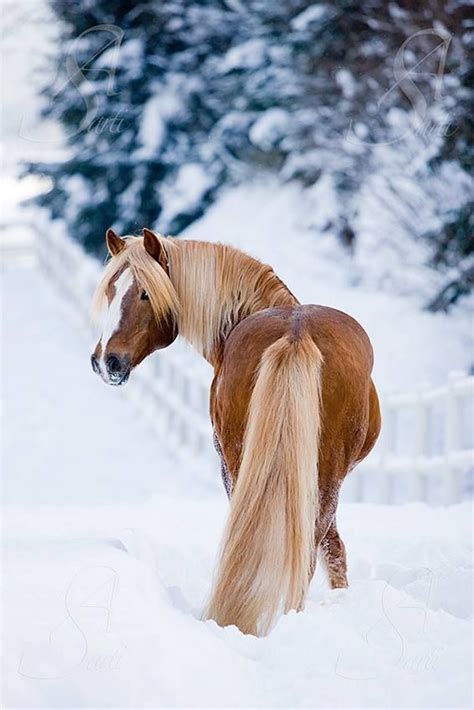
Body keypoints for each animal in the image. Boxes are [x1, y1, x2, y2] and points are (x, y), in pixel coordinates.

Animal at [91, 227, 381, 636]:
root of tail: (295, 334)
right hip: (324, 474)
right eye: (112, 290)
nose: (106, 361)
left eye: (146, 293)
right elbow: (334, 548)